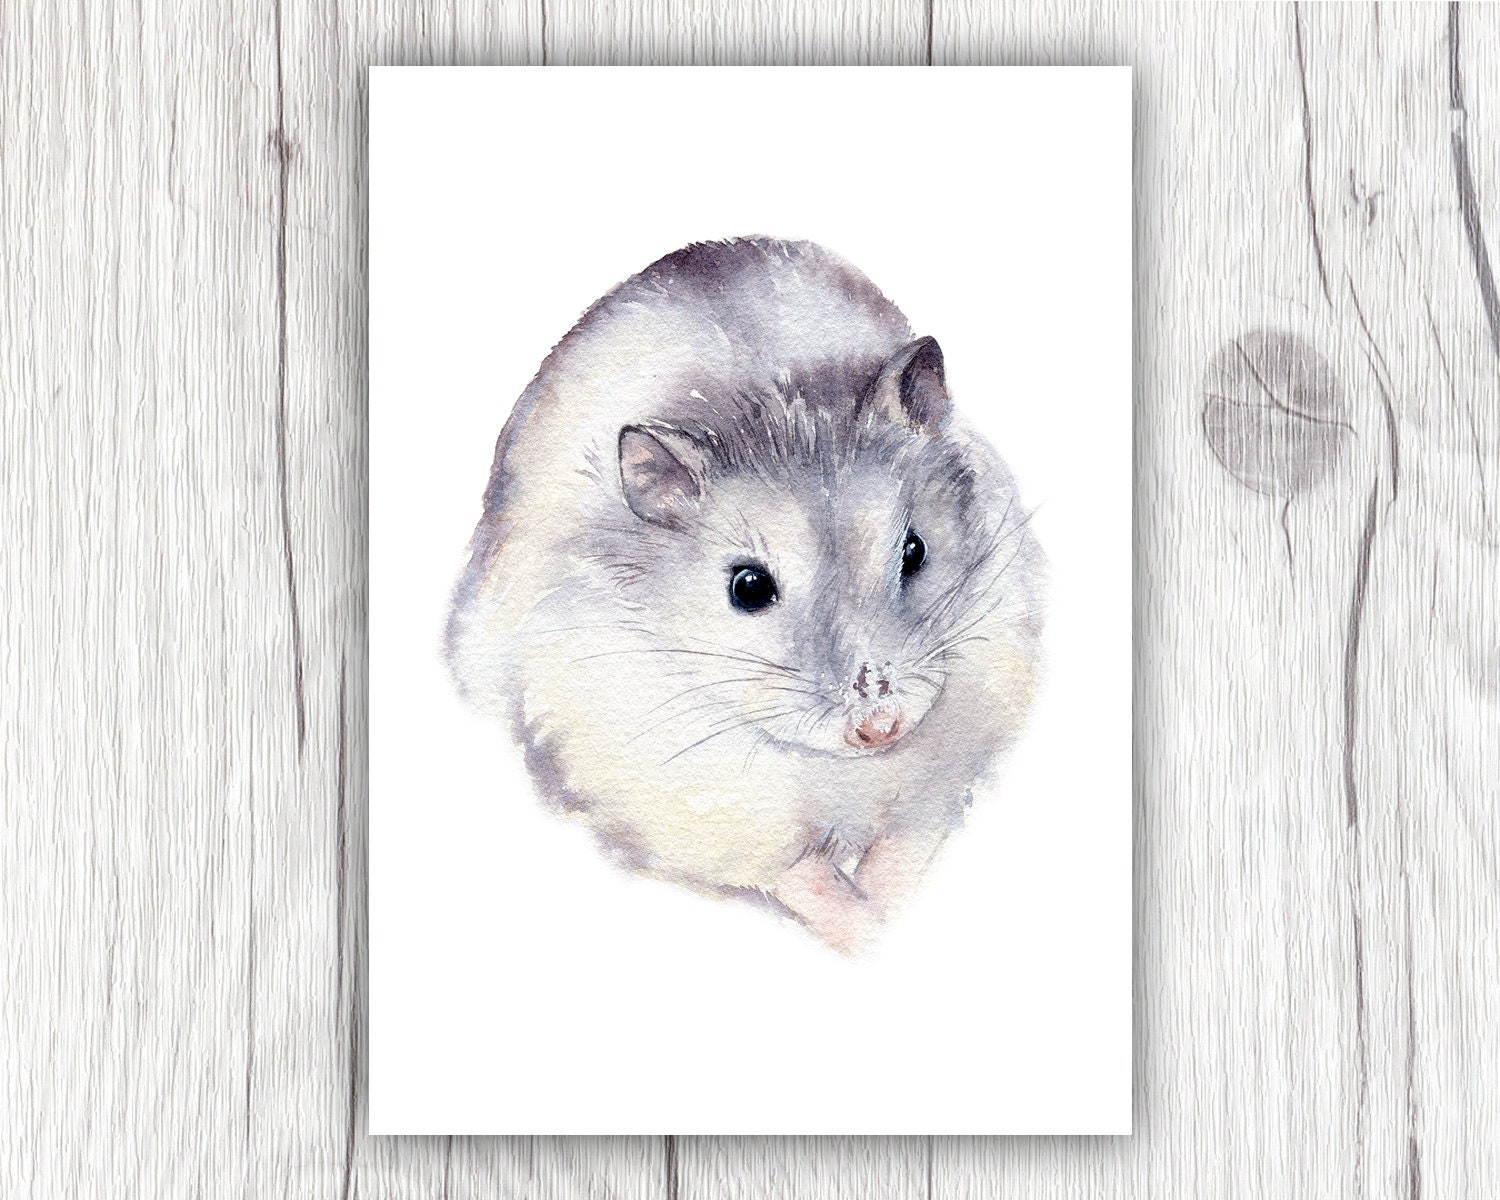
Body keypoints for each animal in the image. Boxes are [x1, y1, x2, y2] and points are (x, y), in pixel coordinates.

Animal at [446, 238, 1045, 954]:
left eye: (915, 551)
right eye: (748, 588)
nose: (880, 729)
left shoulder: (946, 771)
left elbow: (902, 853)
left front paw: (884, 921)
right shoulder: (684, 800)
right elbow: (801, 878)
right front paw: (866, 934)